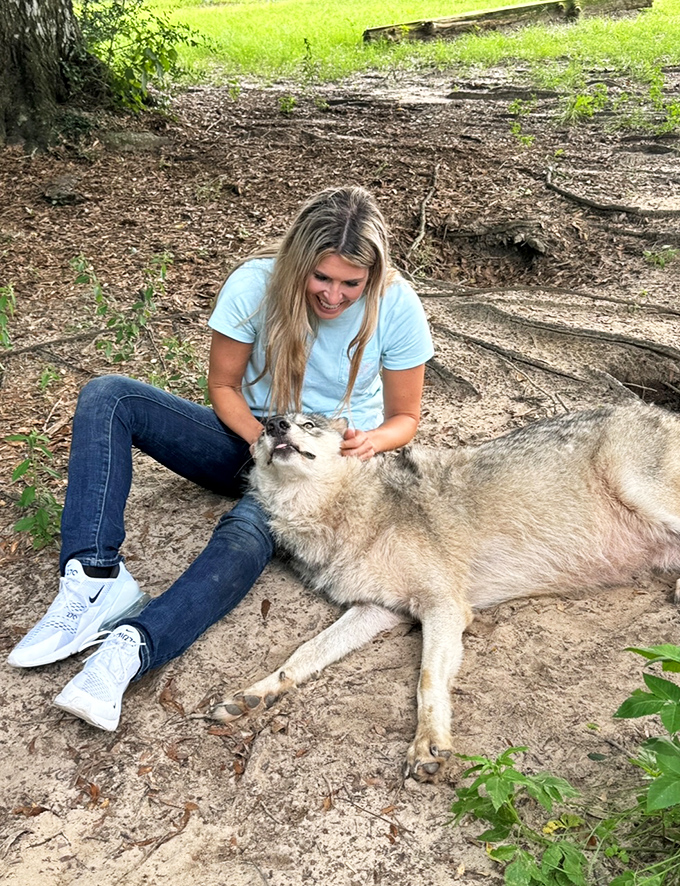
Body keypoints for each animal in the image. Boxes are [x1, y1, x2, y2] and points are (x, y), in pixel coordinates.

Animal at [210, 403, 680, 781]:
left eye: (308, 424)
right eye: (261, 431)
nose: (274, 423)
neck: (341, 513)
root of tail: (659, 409)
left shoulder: (444, 607)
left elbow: (427, 679)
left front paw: (428, 744)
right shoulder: (375, 609)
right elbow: (302, 654)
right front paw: (255, 694)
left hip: (641, 493)